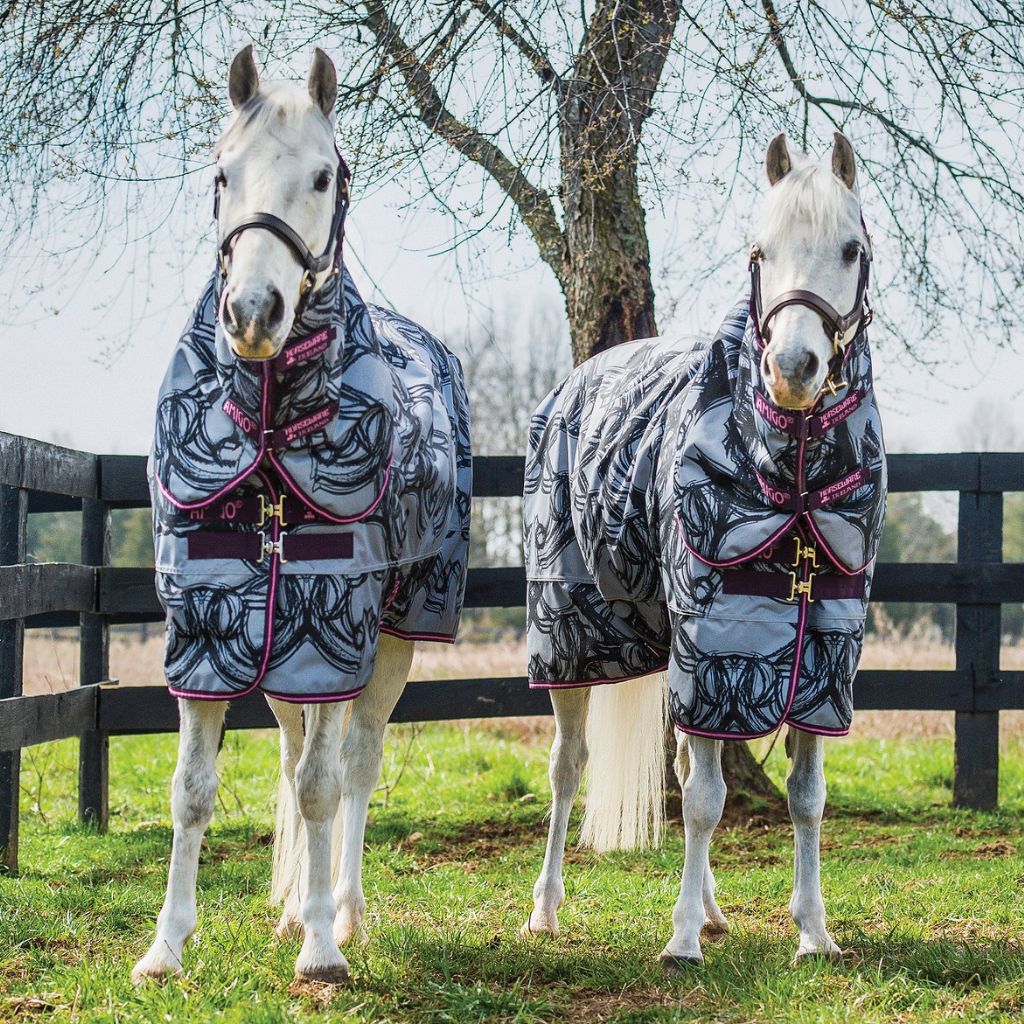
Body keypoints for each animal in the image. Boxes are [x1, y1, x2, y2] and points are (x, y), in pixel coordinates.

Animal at [133, 47, 471, 984]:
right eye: (223, 172)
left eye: (323, 176)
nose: (253, 313)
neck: (272, 423)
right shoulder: (206, 625)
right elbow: (193, 789)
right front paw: (167, 946)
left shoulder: (335, 622)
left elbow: (324, 787)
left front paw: (322, 948)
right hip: (284, 646)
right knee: (293, 755)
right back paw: (293, 908)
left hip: (385, 636)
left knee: (353, 764)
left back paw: (342, 910)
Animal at [521, 133, 886, 967]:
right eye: (760, 251)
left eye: (851, 249)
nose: (793, 370)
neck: (791, 477)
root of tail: (582, 380)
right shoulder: (714, 652)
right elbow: (705, 802)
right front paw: (681, 938)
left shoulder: (816, 664)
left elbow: (805, 800)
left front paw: (814, 931)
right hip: (570, 641)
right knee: (568, 769)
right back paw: (546, 910)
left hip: (675, 653)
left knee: (685, 761)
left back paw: (718, 911)